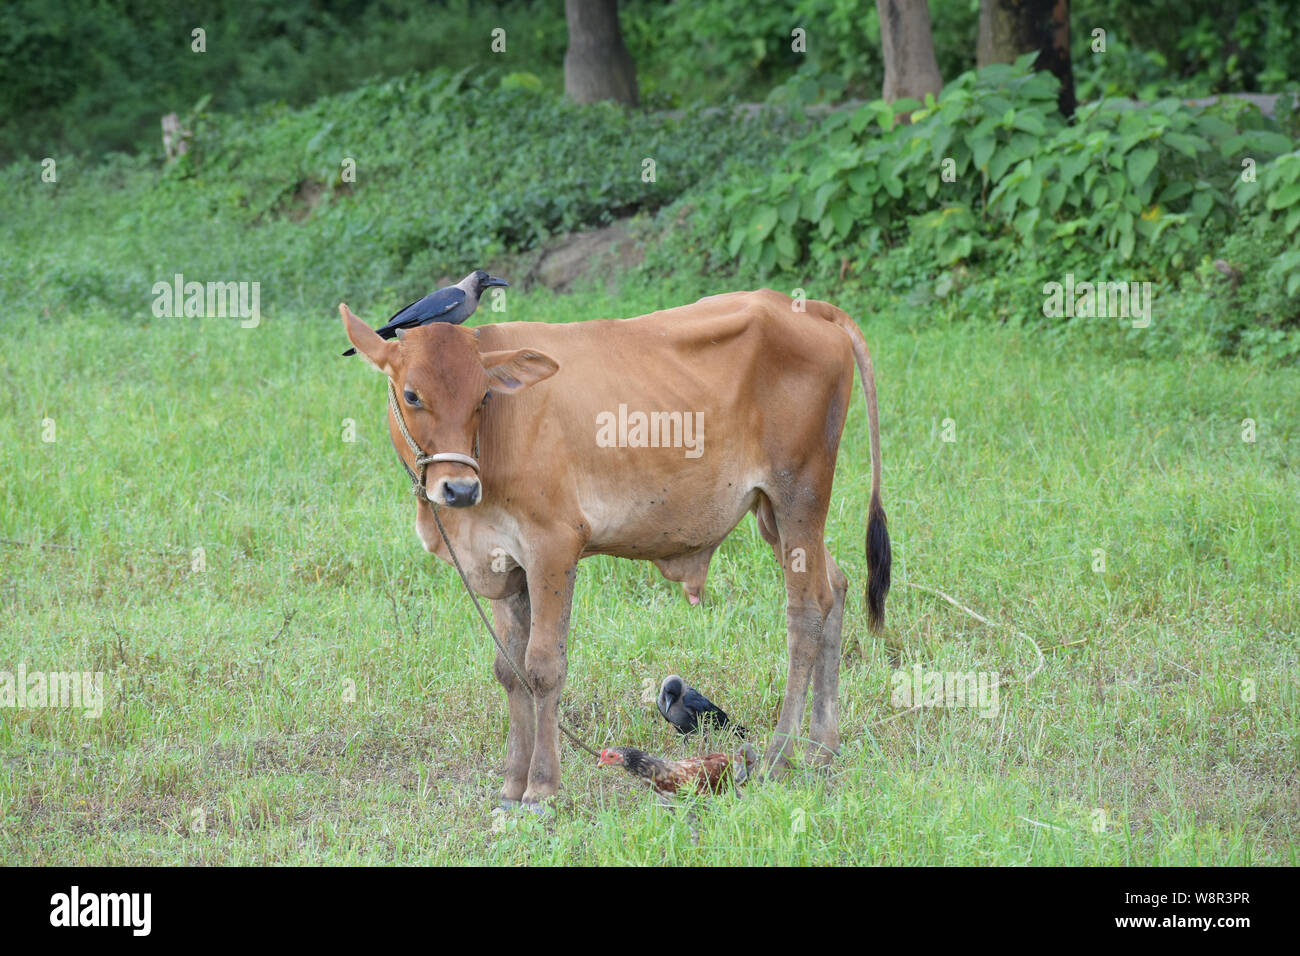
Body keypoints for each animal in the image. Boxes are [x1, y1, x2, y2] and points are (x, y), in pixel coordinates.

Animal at [339, 289, 891, 807]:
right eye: (412, 395)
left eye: (481, 398)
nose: (458, 489)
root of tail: (806, 308)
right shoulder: (501, 561)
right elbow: (509, 671)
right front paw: (512, 785)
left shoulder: (553, 546)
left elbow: (543, 668)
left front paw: (541, 790)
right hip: (773, 514)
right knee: (835, 587)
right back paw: (821, 747)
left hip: (799, 493)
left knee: (807, 609)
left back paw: (780, 755)